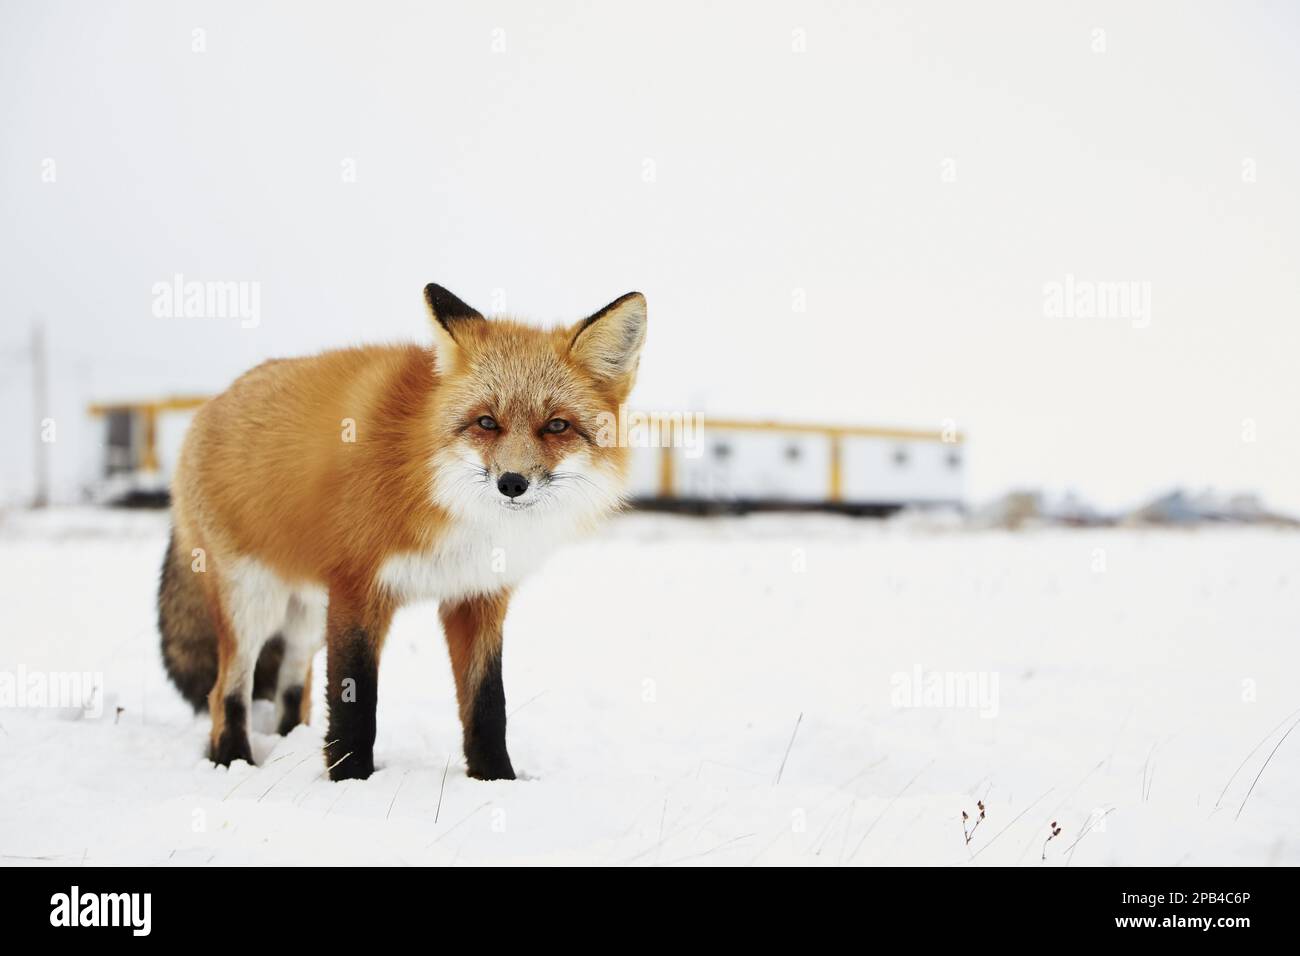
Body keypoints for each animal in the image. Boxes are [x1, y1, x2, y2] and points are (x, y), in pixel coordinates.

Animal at [157, 283, 646, 781]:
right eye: (487, 422)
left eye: (557, 426)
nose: (512, 483)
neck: (440, 495)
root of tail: (212, 402)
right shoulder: (357, 588)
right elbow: (355, 704)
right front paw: (351, 781)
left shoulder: (477, 595)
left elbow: (488, 706)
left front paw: (496, 780)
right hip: (253, 601)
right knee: (226, 690)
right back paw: (232, 759)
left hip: (307, 615)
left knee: (292, 686)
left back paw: (289, 742)